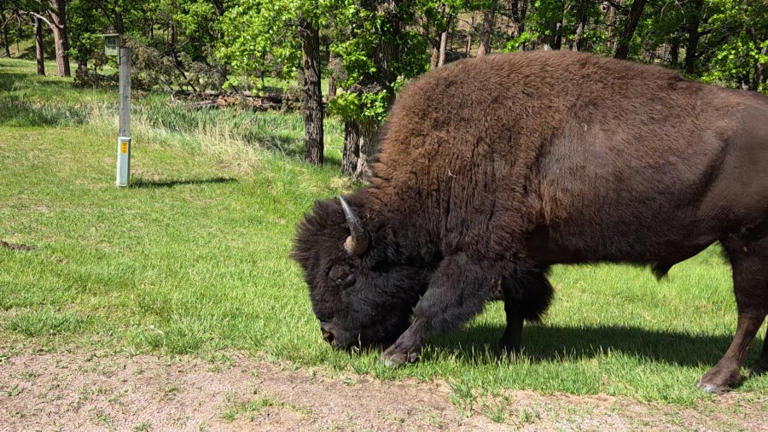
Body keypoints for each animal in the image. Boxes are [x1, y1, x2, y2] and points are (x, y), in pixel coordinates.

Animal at [291, 51, 768, 393]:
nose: (329, 336)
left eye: (343, 273)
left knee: (749, 311)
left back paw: (714, 380)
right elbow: (516, 303)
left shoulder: (478, 254)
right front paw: (506, 351)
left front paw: (396, 354)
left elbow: (435, 302)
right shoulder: (522, 255)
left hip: (747, 242)